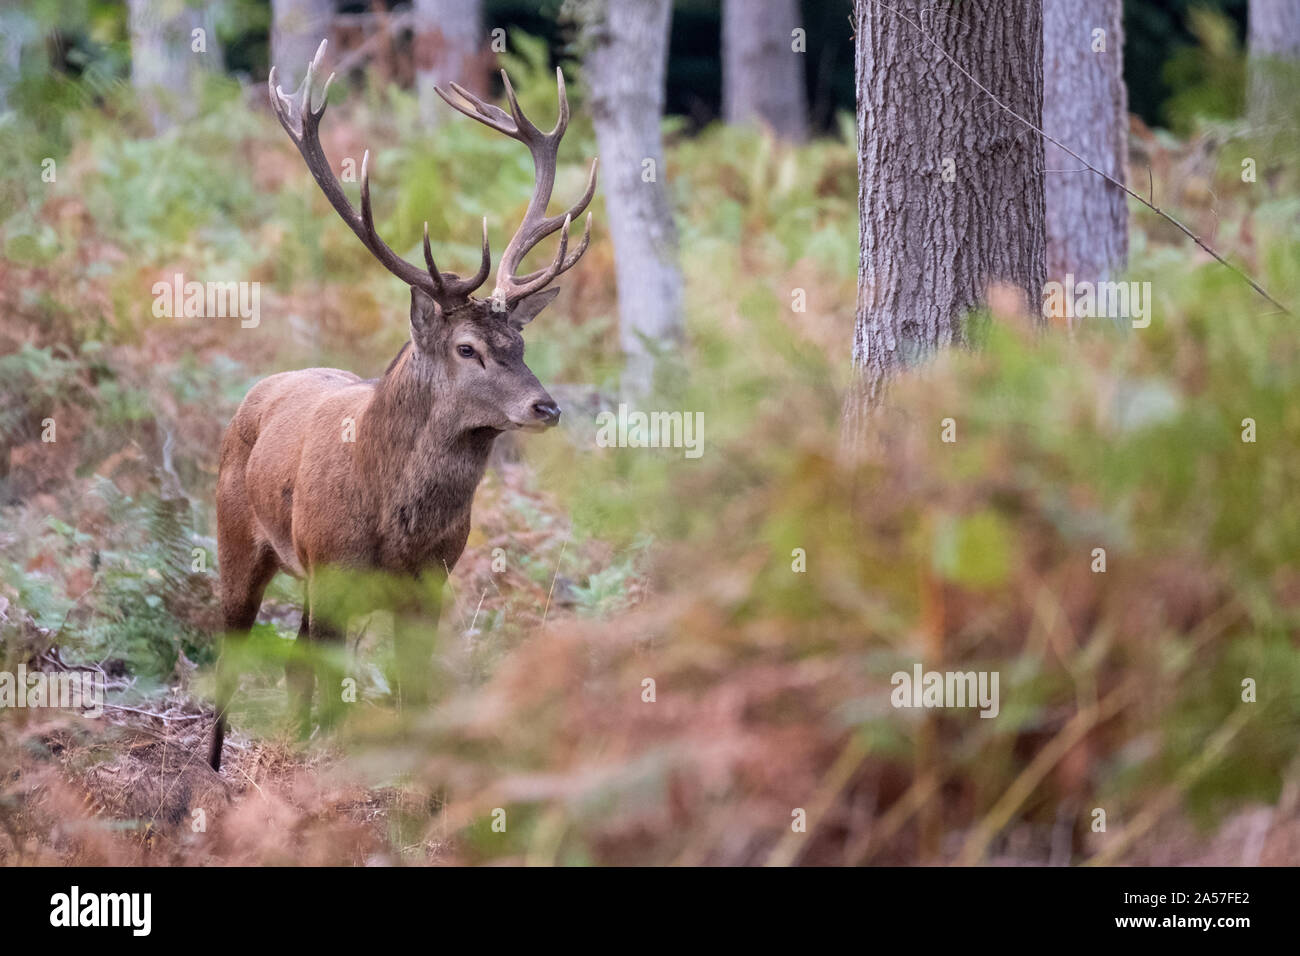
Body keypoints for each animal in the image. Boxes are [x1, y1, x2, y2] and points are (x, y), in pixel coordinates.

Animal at [207, 40, 597, 771]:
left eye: (520, 341)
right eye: (468, 348)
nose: (546, 408)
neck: (393, 521)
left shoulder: (432, 581)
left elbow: (414, 697)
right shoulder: (332, 571)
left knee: (293, 658)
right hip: (238, 537)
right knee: (232, 653)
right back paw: (209, 772)